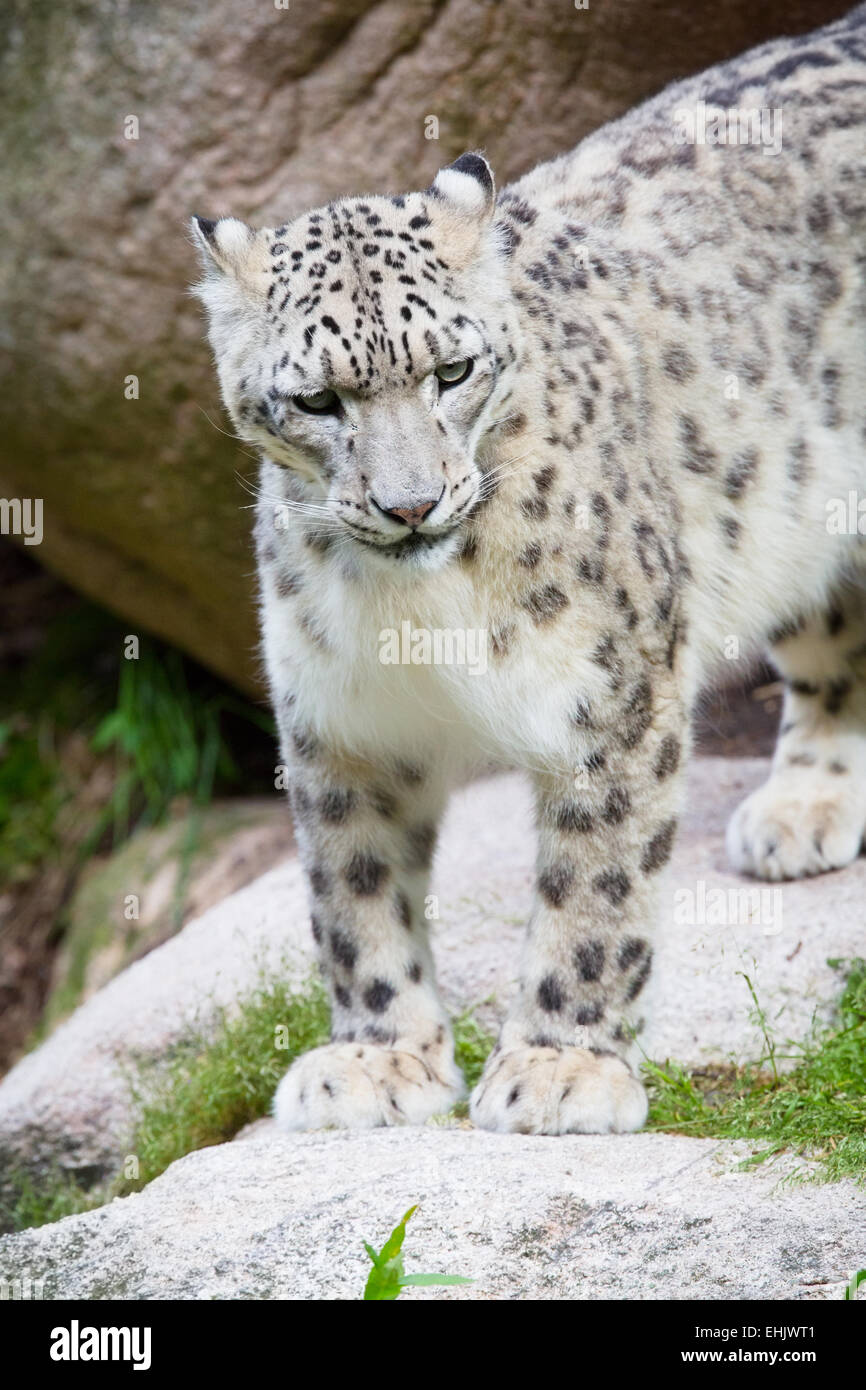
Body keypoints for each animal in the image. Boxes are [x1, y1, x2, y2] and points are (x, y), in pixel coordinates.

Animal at [193, 5, 866, 1134]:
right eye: (319, 399)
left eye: (452, 370)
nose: (410, 503)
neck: (420, 604)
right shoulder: (338, 717)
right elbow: (353, 887)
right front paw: (377, 1057)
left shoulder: (612, 694)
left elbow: (596, 882)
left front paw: (560, 1067)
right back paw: (804, 809)